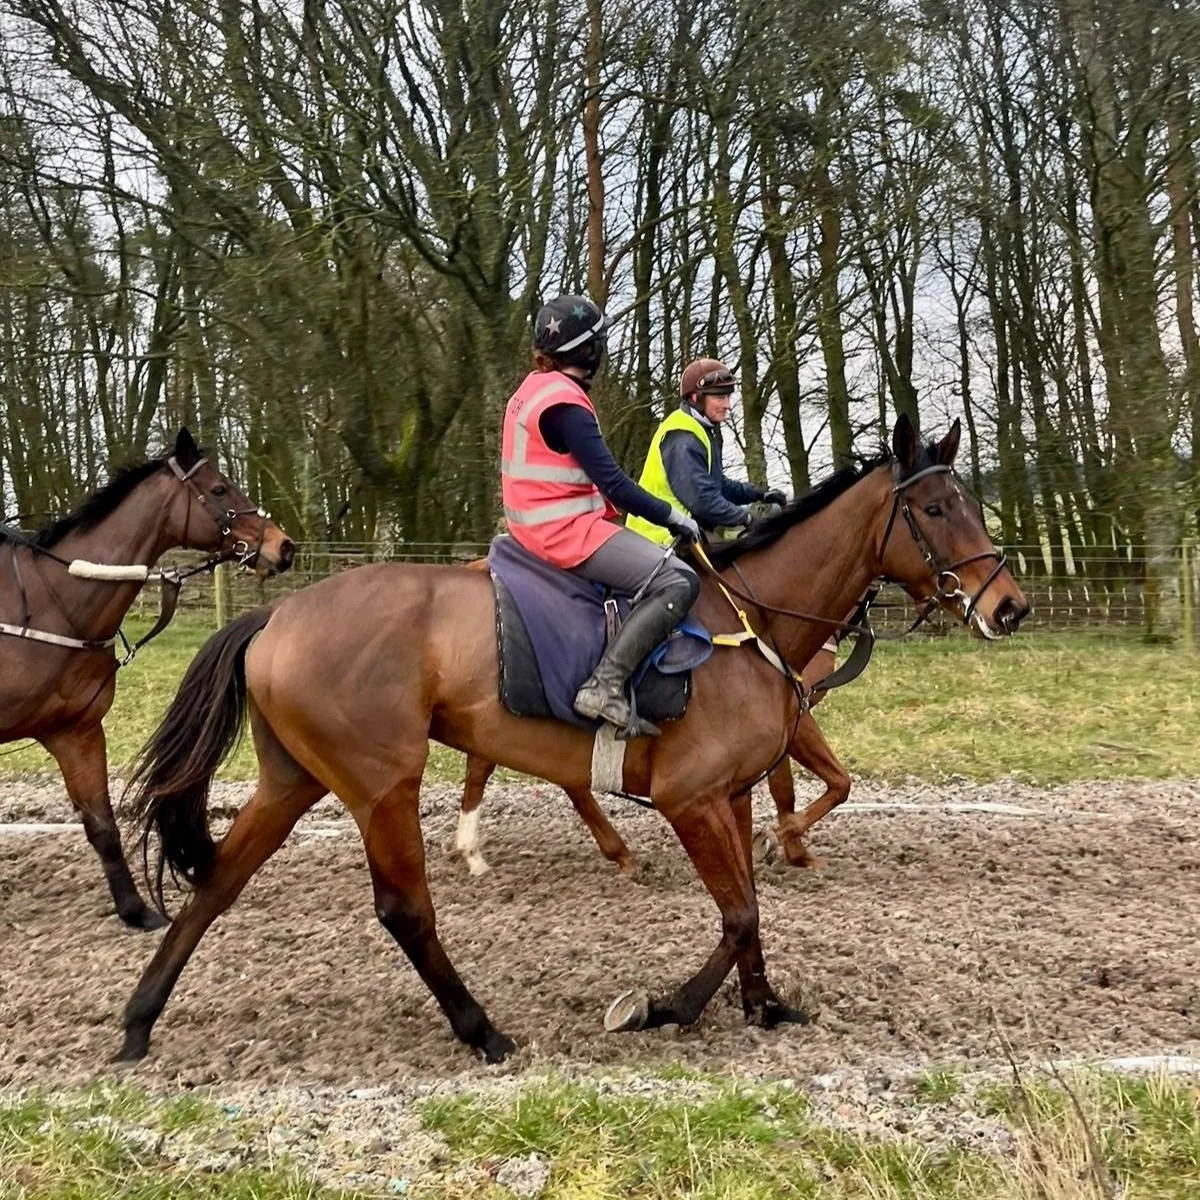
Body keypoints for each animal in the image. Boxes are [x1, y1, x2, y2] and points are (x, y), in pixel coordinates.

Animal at [0, 429, 293, 930]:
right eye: (220, 489)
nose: (283, 546)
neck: (46, 601)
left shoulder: (74, 732)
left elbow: (102, 826)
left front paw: (134, 909)